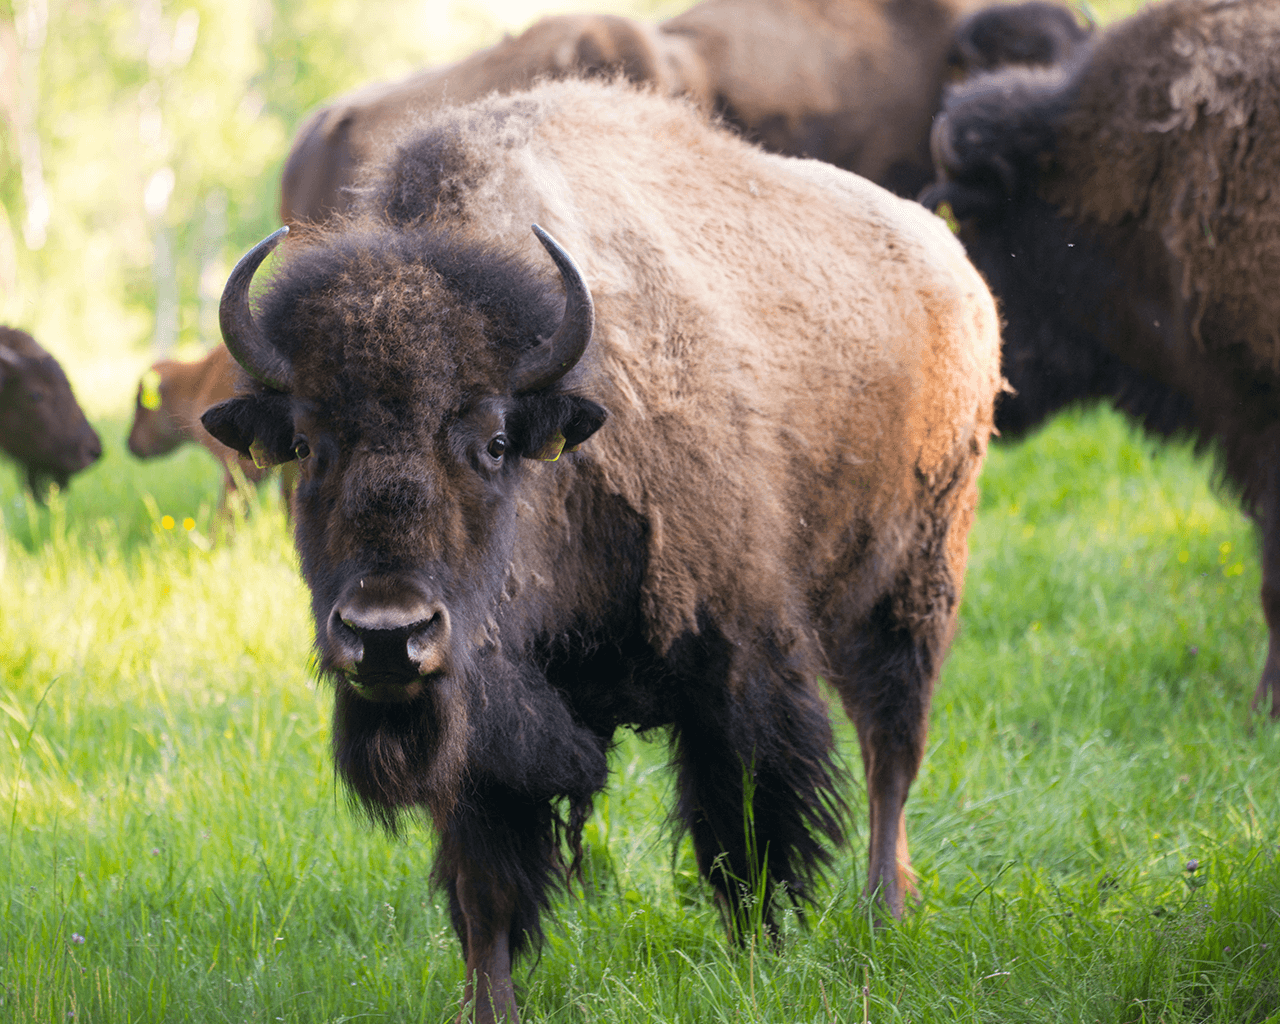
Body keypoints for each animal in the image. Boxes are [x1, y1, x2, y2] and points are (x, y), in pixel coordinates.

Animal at [207, 80, 1001, 1021]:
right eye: (308, 445)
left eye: (493, 442)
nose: (387, 634)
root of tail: (954, 269)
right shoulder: (482, 727)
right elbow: (487, 890)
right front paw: (492, 1006)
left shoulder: (737, 665)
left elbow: (745, 832)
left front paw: (760, 967)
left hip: (914, 583)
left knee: (891, 751)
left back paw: (884, 913)